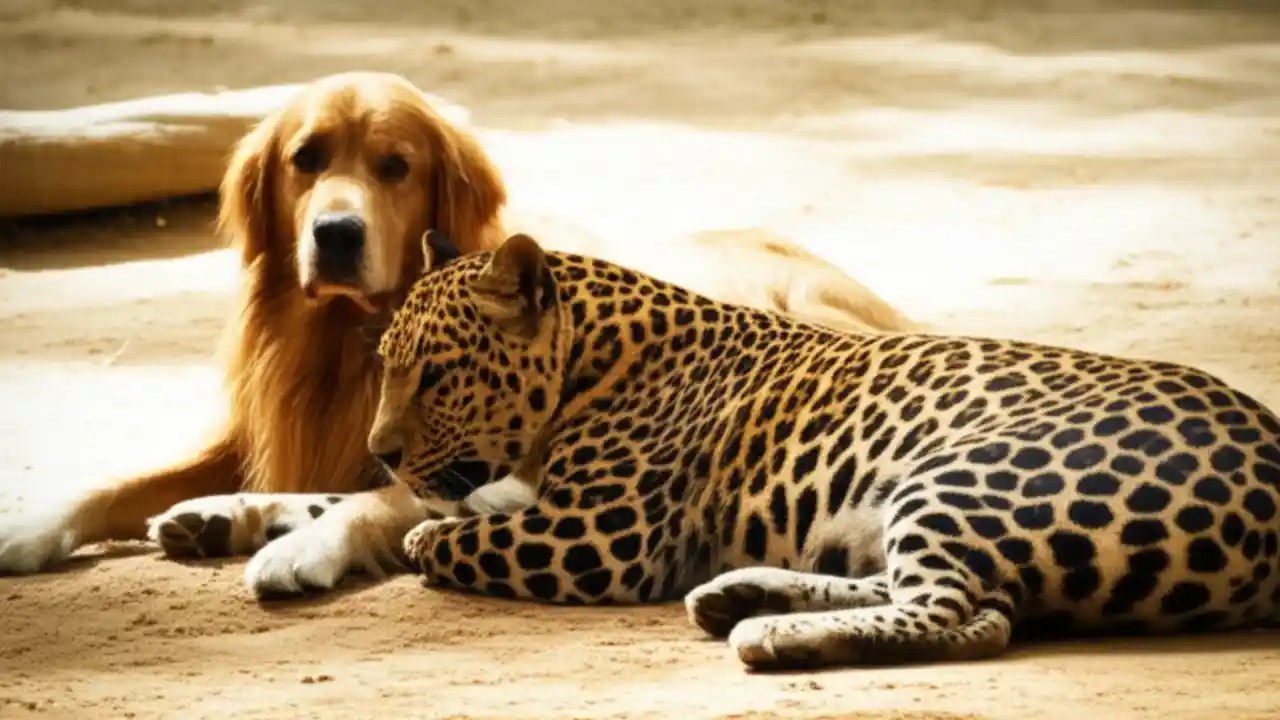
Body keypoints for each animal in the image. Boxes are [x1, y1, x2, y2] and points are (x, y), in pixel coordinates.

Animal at [369, 229, 1280, 670]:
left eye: (437, 375)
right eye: (384, 364)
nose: (378, 453)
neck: (592, 353)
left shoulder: (599, 539)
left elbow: (441, 537)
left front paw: (425, 530)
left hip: (961, 477)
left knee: (959, 613)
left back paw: (770, 638)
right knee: (968, 603)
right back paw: (739, 596)